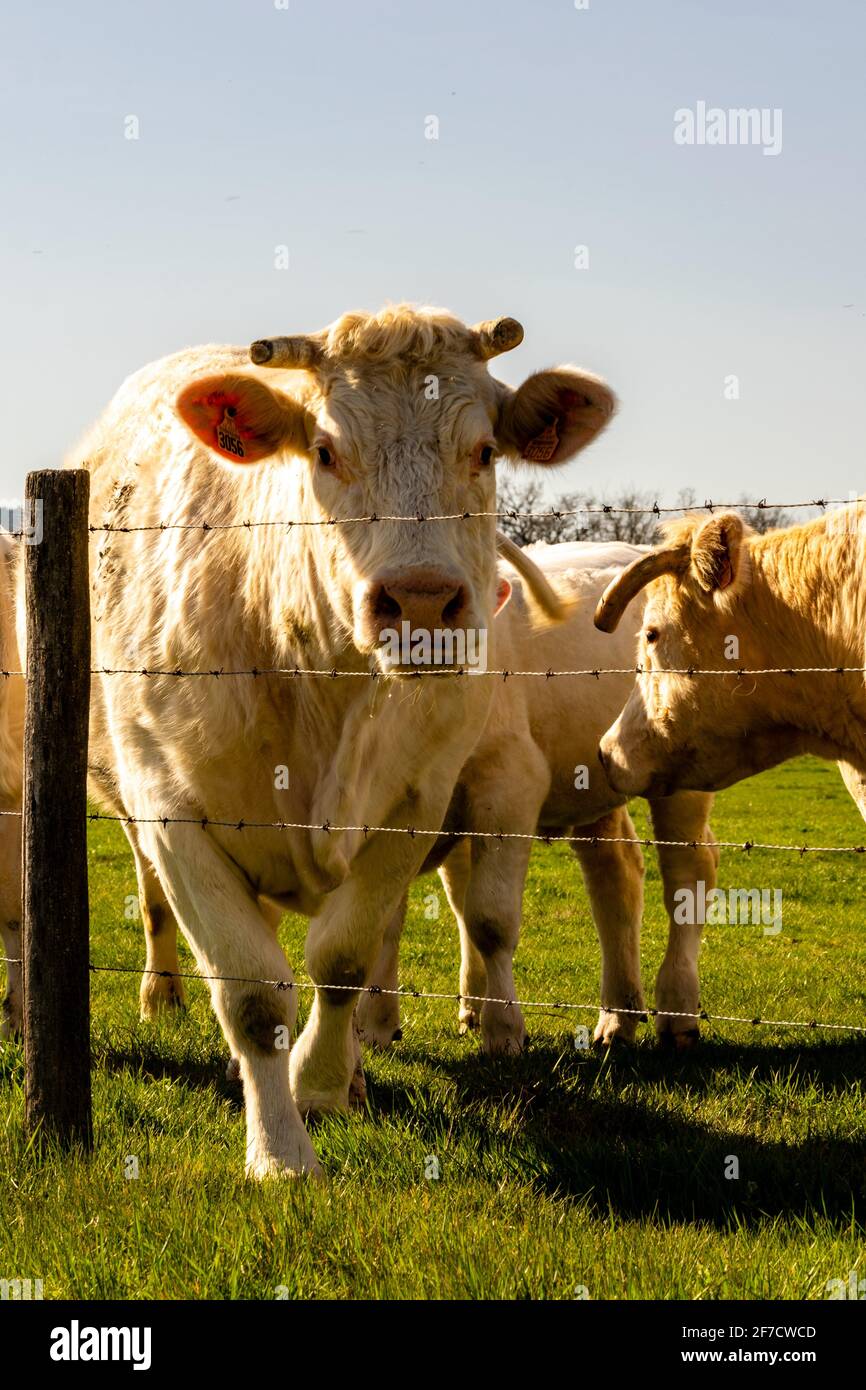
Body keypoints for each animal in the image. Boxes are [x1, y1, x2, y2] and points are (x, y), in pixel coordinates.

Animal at [6, 305, 616, 1178]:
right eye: (326, 450)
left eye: (485, 451)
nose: (422, 600)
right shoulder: (172, 812)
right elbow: (253, 992)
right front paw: (281, 1152)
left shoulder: (414, 800)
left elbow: (343, 961)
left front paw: (323, 1087)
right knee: (160, 911)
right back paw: (169, 999)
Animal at [355, 538, 718, 1054]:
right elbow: (386, 918)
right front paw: (375, 1025)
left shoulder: (510, 786)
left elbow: (489, 918)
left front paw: (504, 1029)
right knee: (617, 878)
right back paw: (616, 1018)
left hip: (682, 774)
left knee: (688, 876)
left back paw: (677, 1010)